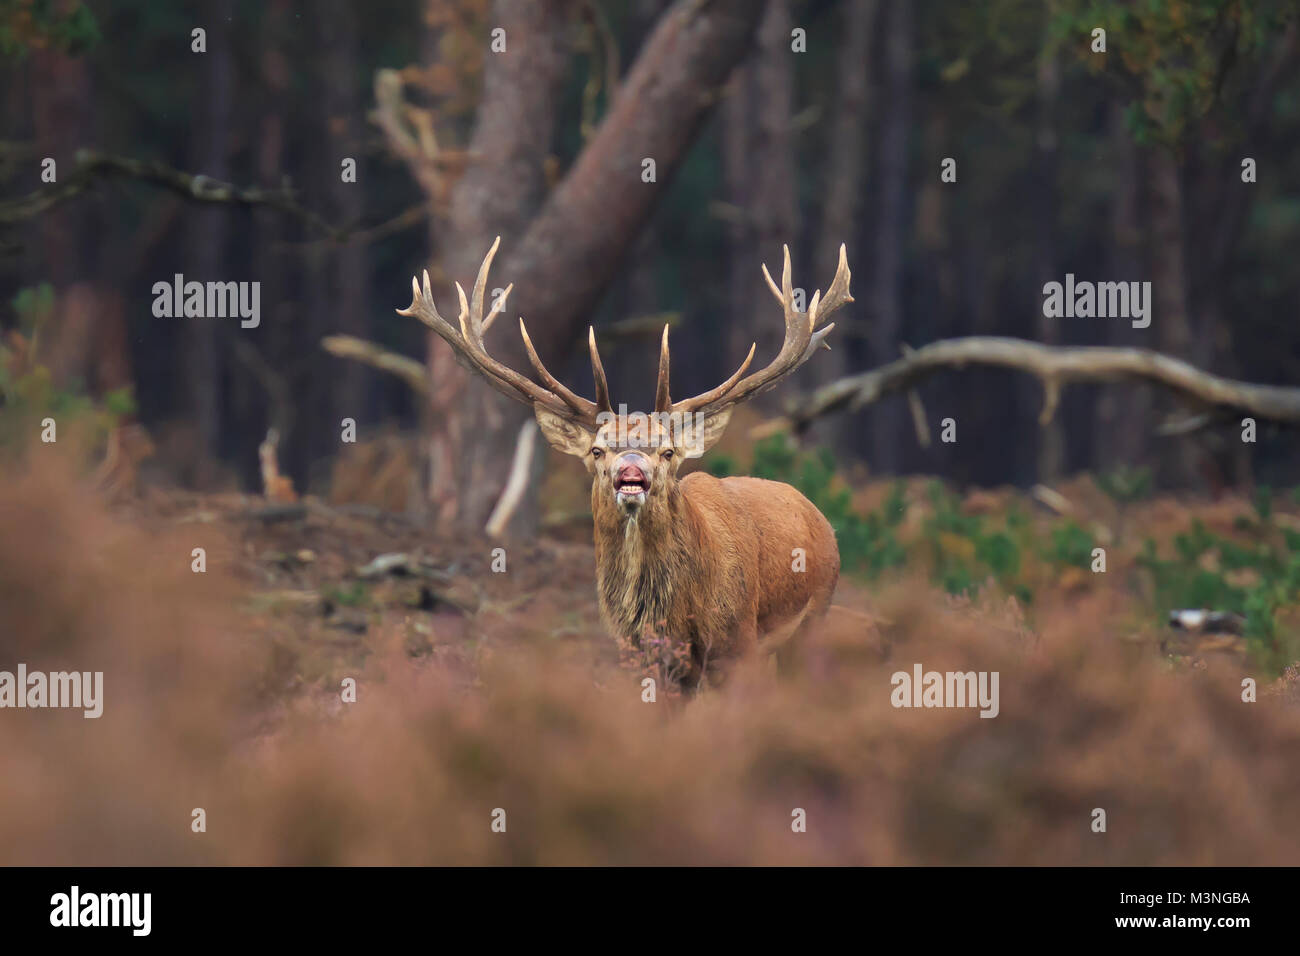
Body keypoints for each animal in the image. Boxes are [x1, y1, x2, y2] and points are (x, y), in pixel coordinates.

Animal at [398, 238, 853, 689]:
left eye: (667, 451)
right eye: (598, 451)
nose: (631, 473)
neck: (670, 613)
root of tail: (820, 518)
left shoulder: (736, 643)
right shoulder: (636, 655)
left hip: (815, 613)